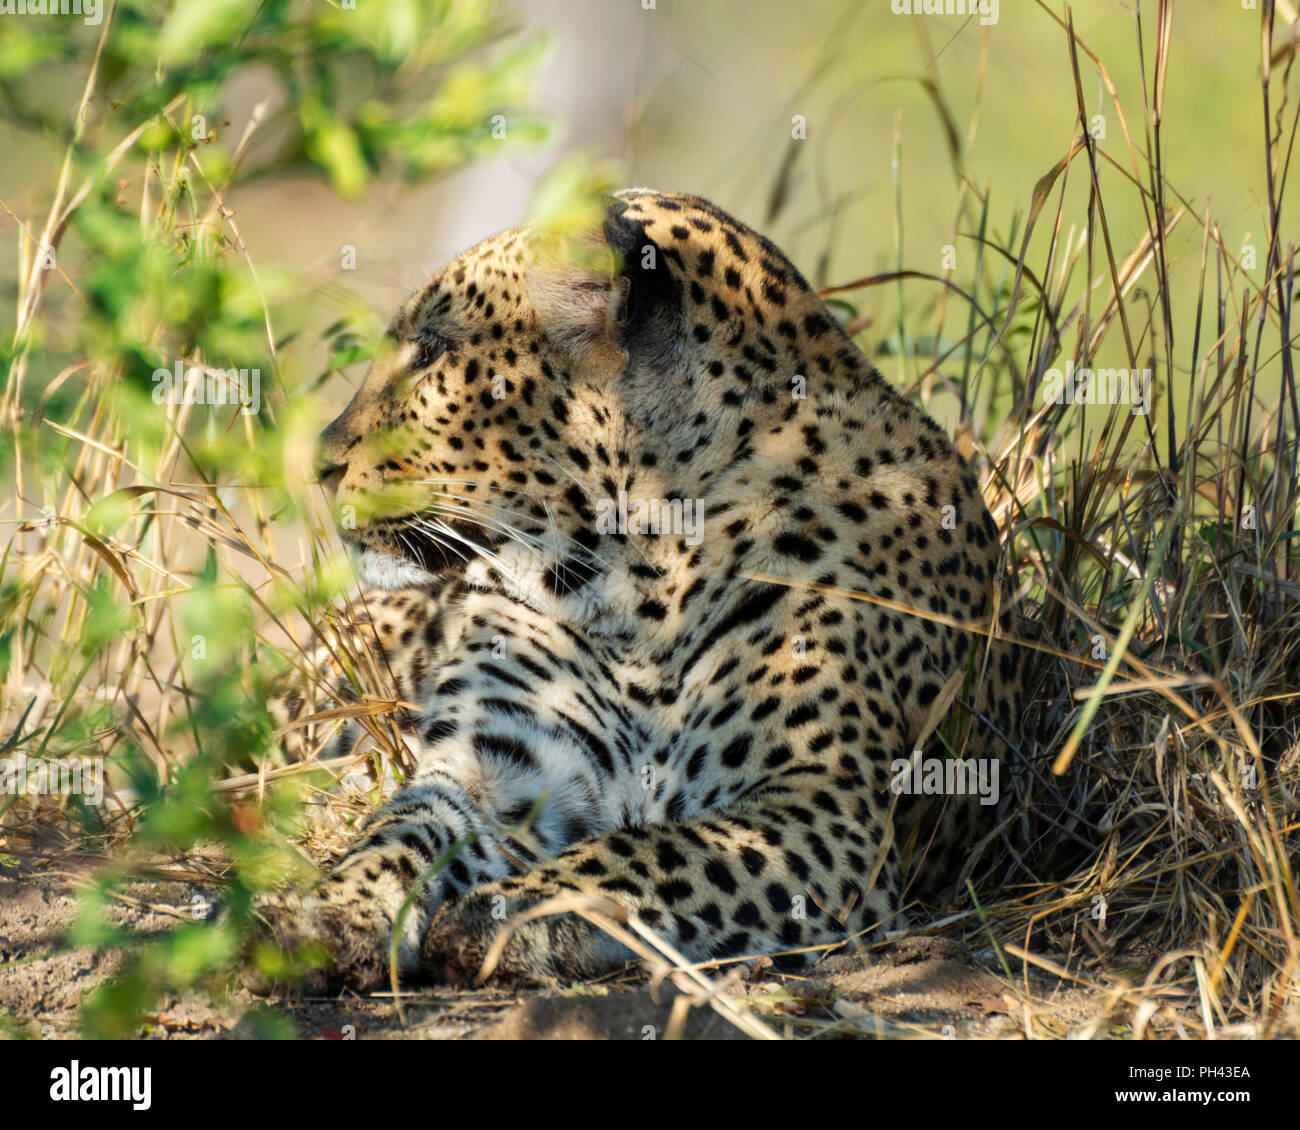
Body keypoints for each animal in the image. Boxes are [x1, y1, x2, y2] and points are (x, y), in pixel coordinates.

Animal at [259, 188, 1030, 990]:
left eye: (434, 350)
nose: (319, 462)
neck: (640, 591)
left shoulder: (824, 802)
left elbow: (654, 852)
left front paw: (506, 913)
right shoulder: (492, 768)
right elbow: (401, 831)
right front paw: (326, 913)